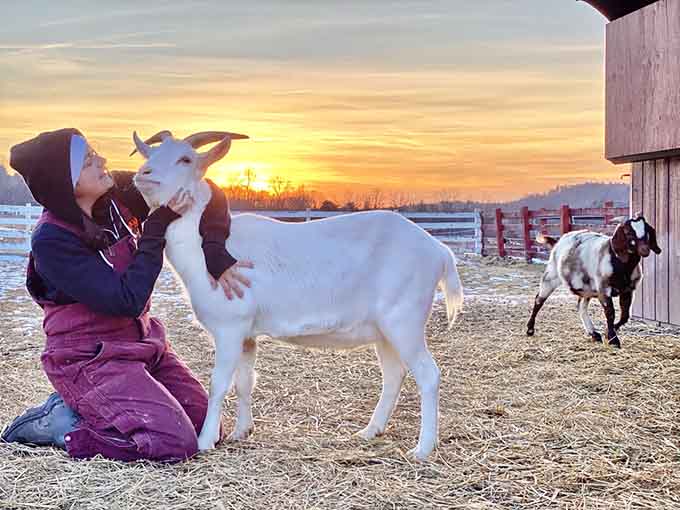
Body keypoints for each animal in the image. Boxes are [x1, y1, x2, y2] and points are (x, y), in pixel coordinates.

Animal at [130, 130, 464, 460]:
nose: (143, 174)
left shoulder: (230, 326)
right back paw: (370, 432)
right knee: (394, 375)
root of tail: (439, 251)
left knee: (428, 374)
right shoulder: (247, 334)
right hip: (384, 330)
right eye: (150, 154)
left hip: (404, 319)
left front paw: (205, 441)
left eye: (185, 159)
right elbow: (244, 382)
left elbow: (218, 383)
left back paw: (422, 449)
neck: (204, 247)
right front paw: (241, 432)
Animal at [525, 216, 661, 348]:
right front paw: (613, 339)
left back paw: (594, 334)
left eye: (647, 230)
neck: (619, 263)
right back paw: (530, 329)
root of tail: (557, 242)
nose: (645, 250)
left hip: (587, 287)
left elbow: (625, 315)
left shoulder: (627, 290)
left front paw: (609, 332)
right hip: (551, 276)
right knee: (539, 300)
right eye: (628, 232)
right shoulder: (603, 289)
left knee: (581, 306)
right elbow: (610, 313)